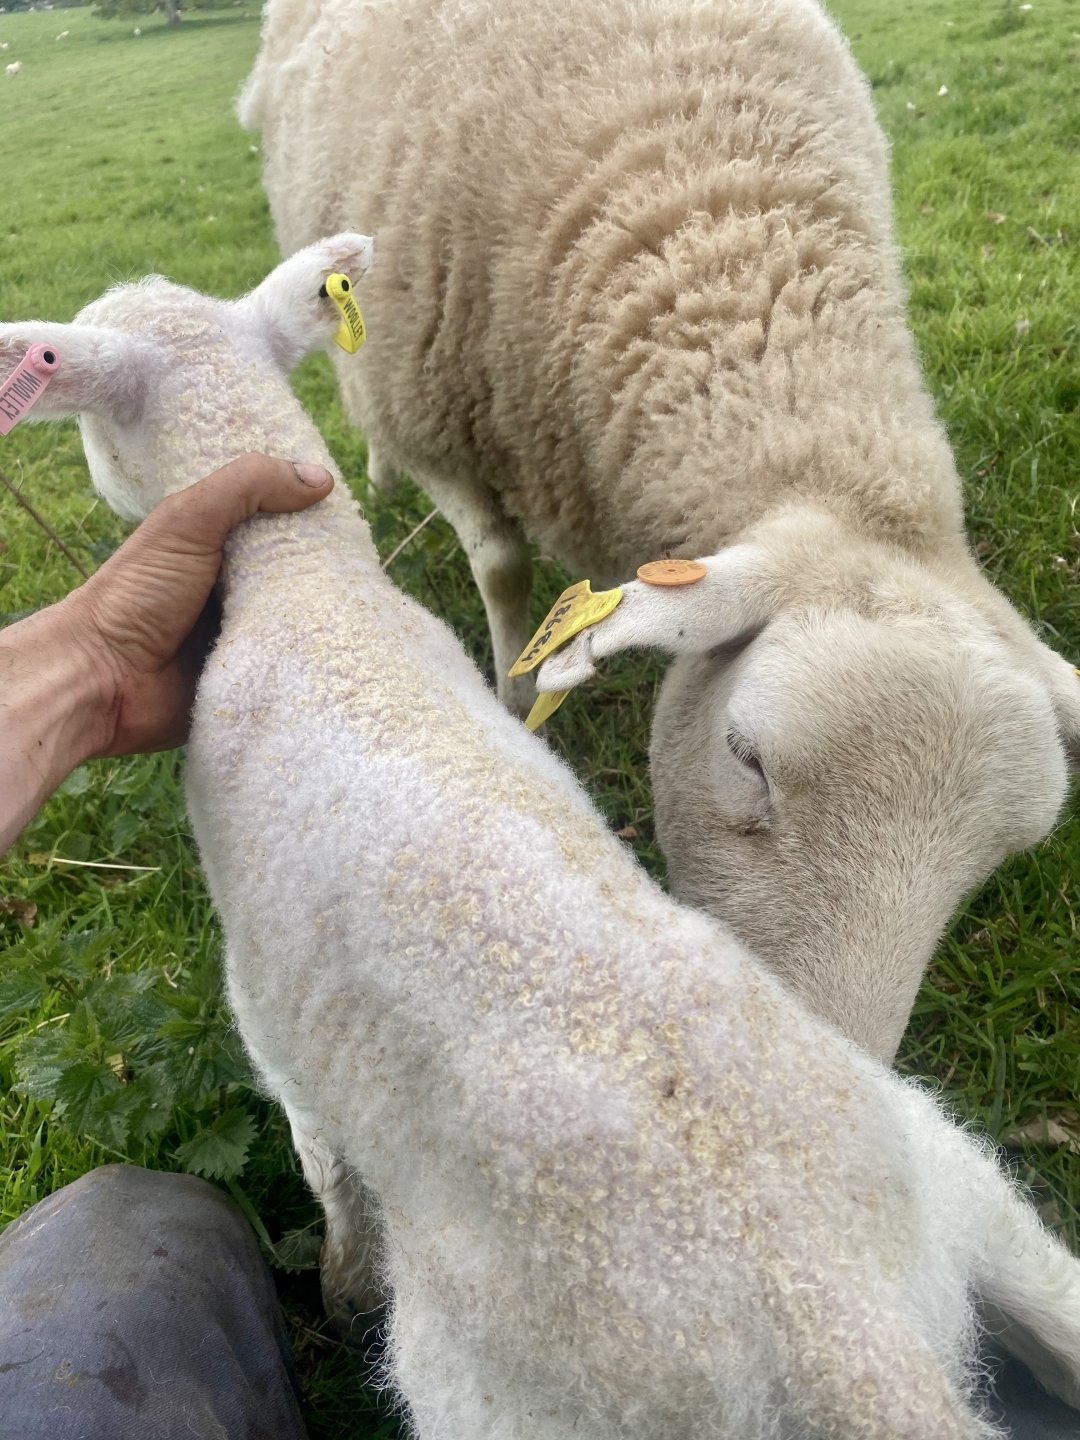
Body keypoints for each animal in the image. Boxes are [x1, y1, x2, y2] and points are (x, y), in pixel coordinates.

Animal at [5, 237, 1080, 1440]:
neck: (310, 591)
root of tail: (852, 1342)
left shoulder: (270, 1031)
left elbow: (327, 1177)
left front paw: (340, 1285)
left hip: (500, 1395)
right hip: (968, 1187)